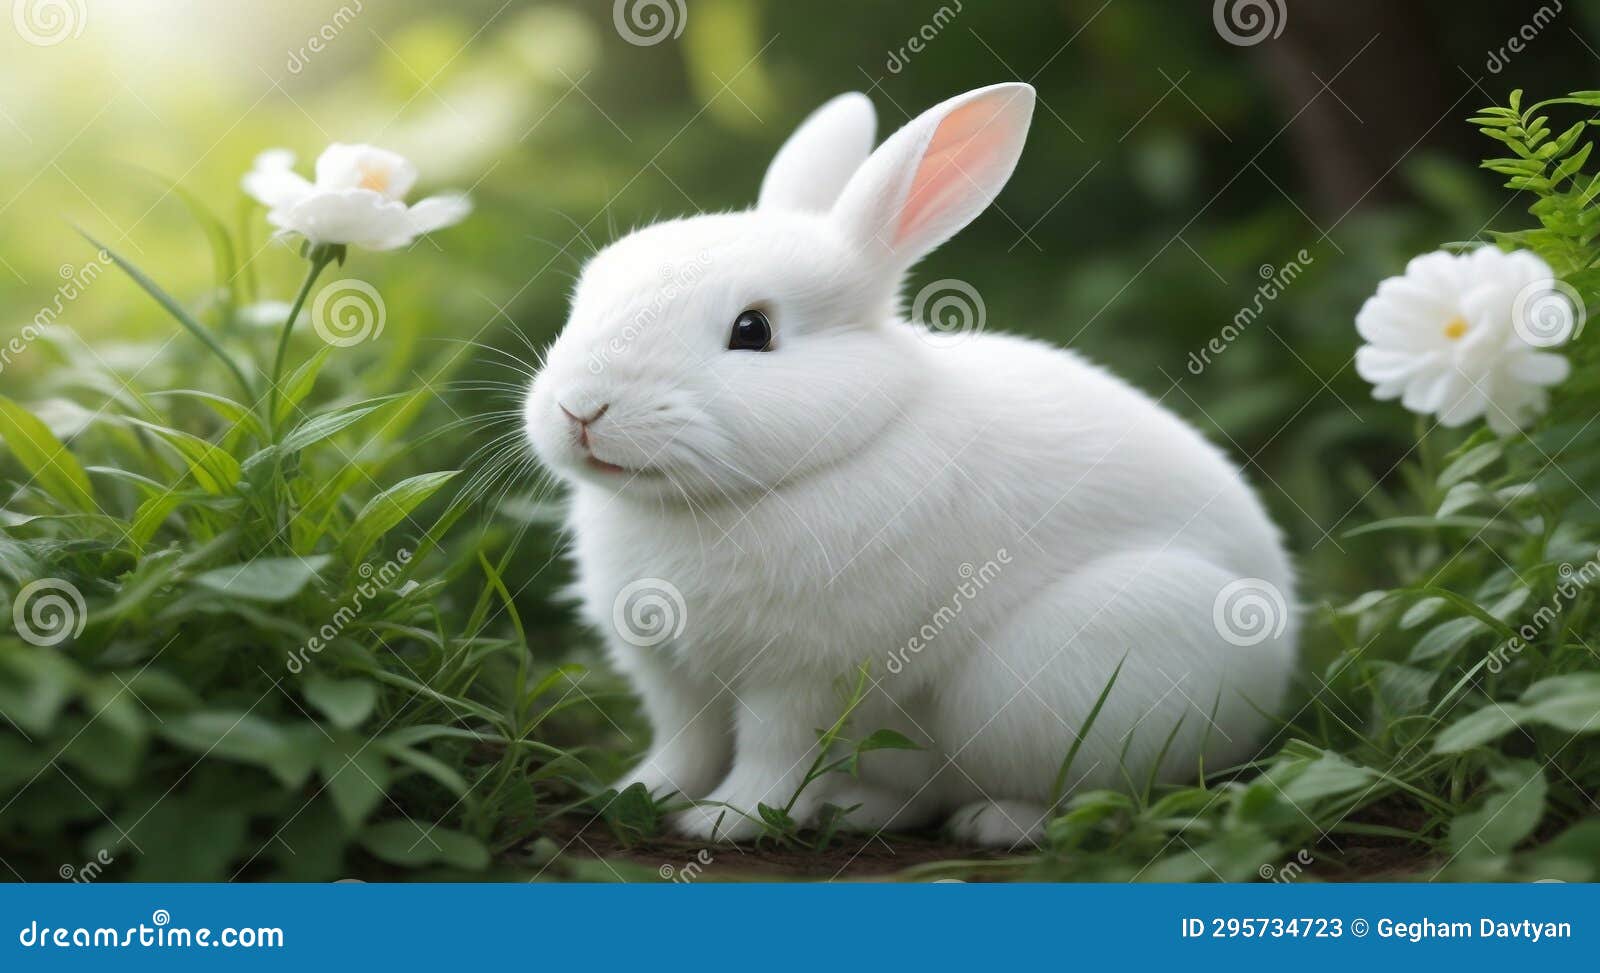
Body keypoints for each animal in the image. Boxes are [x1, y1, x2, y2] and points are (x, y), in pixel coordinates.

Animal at [522, 83, 1298, 846]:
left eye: (753, 330)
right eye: (589, 292)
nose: (580, 409)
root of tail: (1279, 650)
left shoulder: (805, 675)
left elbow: (774, 753)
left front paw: (724, 820)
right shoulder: (671, 674)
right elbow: (683, 742)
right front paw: (636, 791)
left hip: (1059, 679)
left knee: (1083, 795)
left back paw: (994, 822)